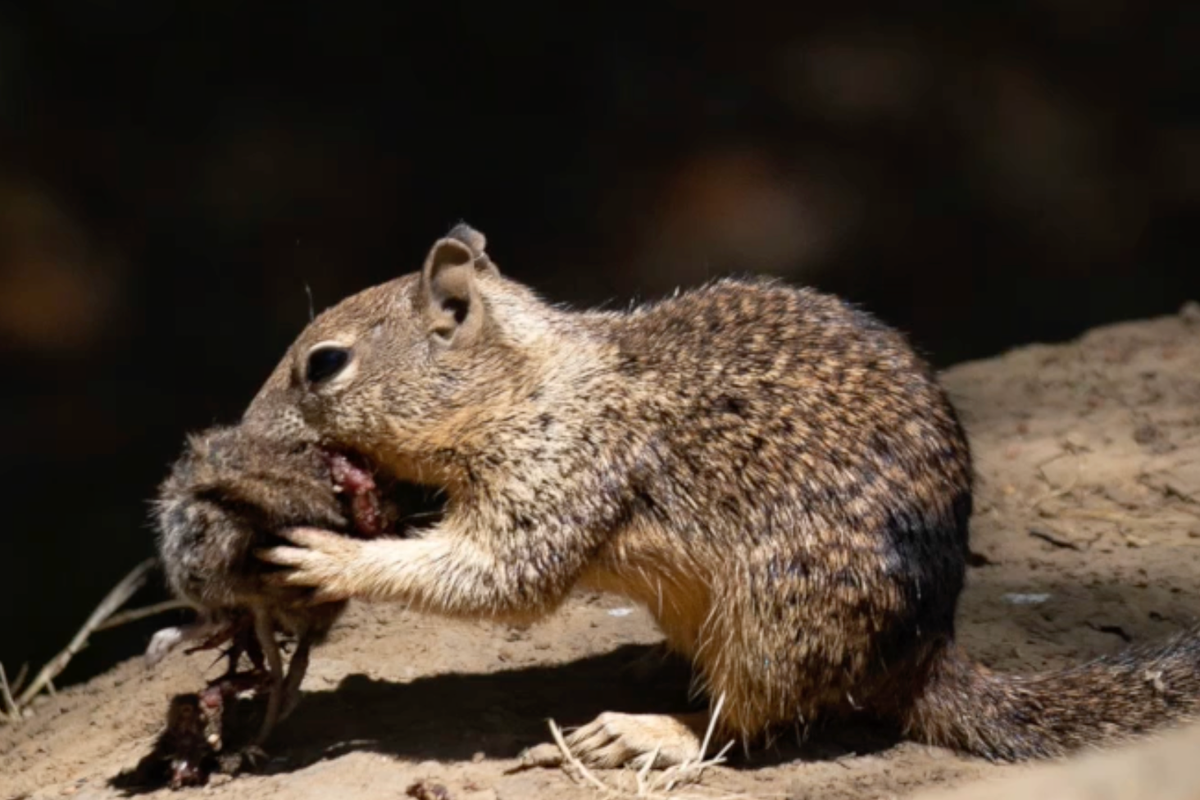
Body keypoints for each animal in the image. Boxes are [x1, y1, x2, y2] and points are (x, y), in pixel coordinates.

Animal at [231, 223, 1200, 769]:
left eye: (325, 364)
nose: (241, 427)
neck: (527, 382)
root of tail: (922, 654)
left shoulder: (563, 465)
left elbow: (503, 572)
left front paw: (331, 557)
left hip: (779, 615)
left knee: (749, 722)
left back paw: (647, 731)